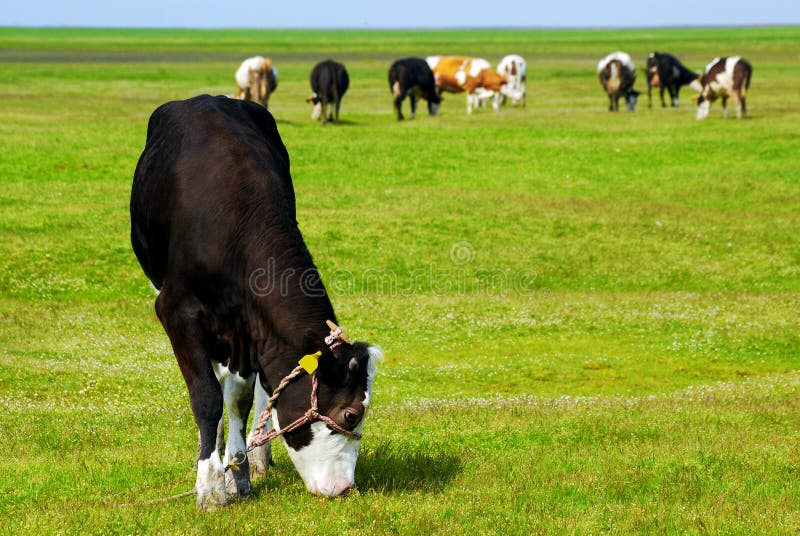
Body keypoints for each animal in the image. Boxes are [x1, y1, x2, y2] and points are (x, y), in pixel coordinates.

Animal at [130, 95, 382, 510]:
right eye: (349, 415)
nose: (344, 488)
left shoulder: (250, 329)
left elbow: (240, 399)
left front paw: (239, 472)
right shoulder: (177, 312)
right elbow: (206, 397)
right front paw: (210, 484)